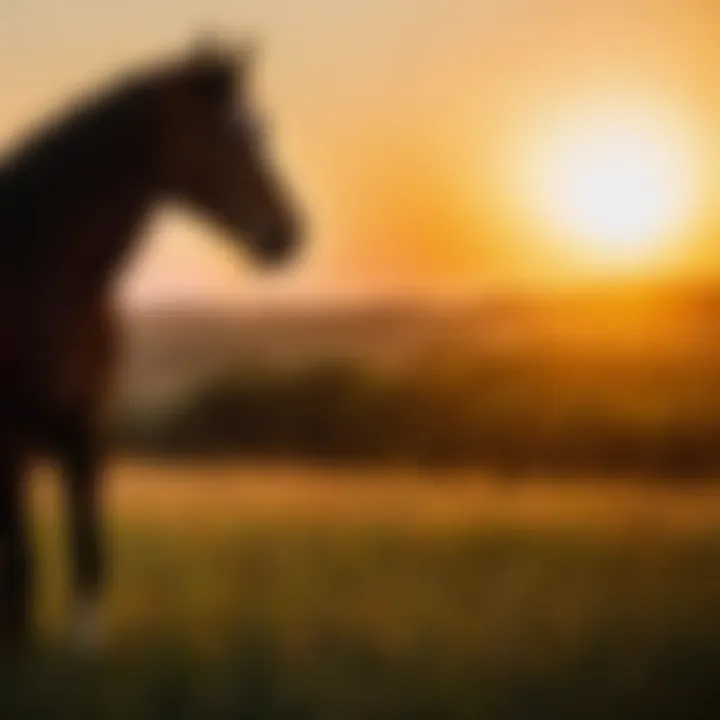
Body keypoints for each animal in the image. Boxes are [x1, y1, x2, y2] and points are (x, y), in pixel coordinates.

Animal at [0, 39, 300, 644]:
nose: (289, 233)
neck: (40, 271)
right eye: (225, 135)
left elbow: (87, 544)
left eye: (260, 128)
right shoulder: (12, 435)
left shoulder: (86, 426)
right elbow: (21, 561)